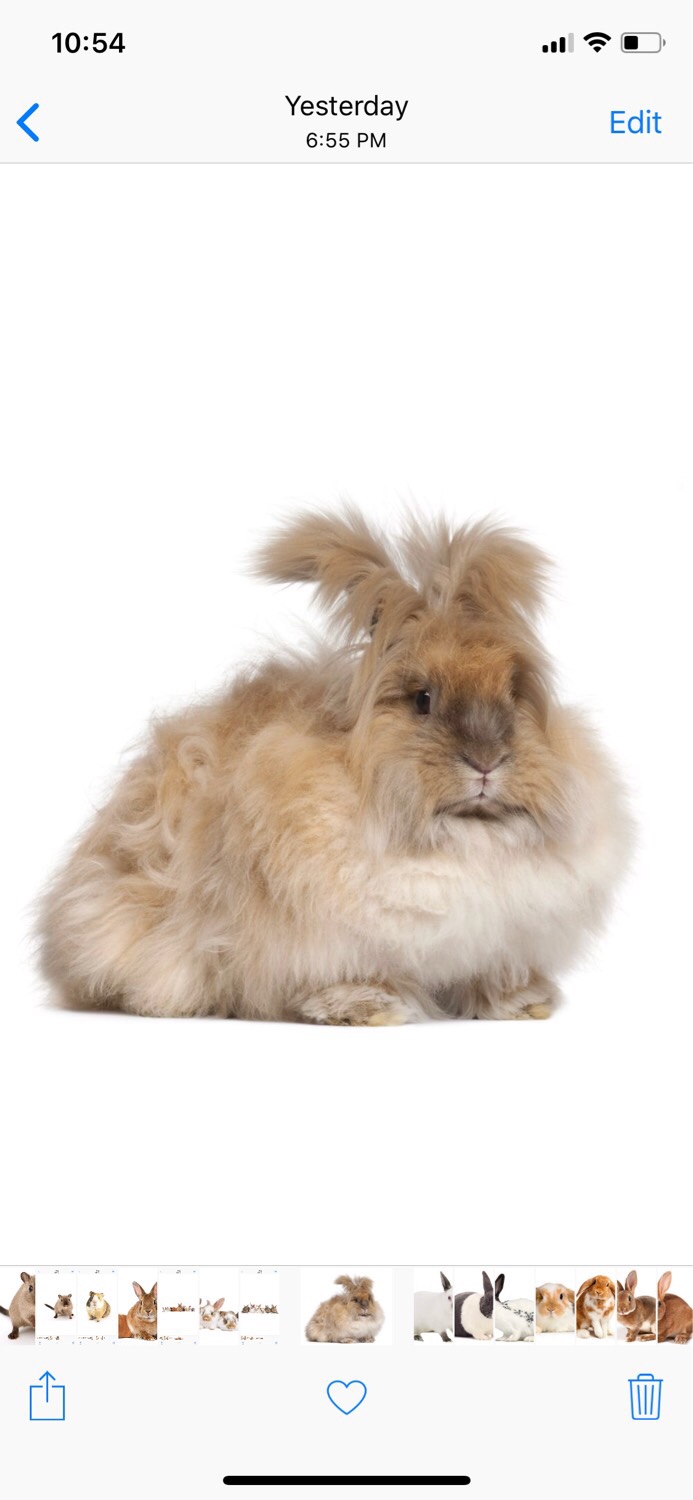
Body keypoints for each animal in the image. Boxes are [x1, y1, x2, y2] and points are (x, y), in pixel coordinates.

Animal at [38, 509, 632, 1028]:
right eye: (423, 699)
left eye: (512, 694)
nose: (487, 762)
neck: (463, 842)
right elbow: (339, 973)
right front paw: (371, 1009)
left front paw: (522, 1003)